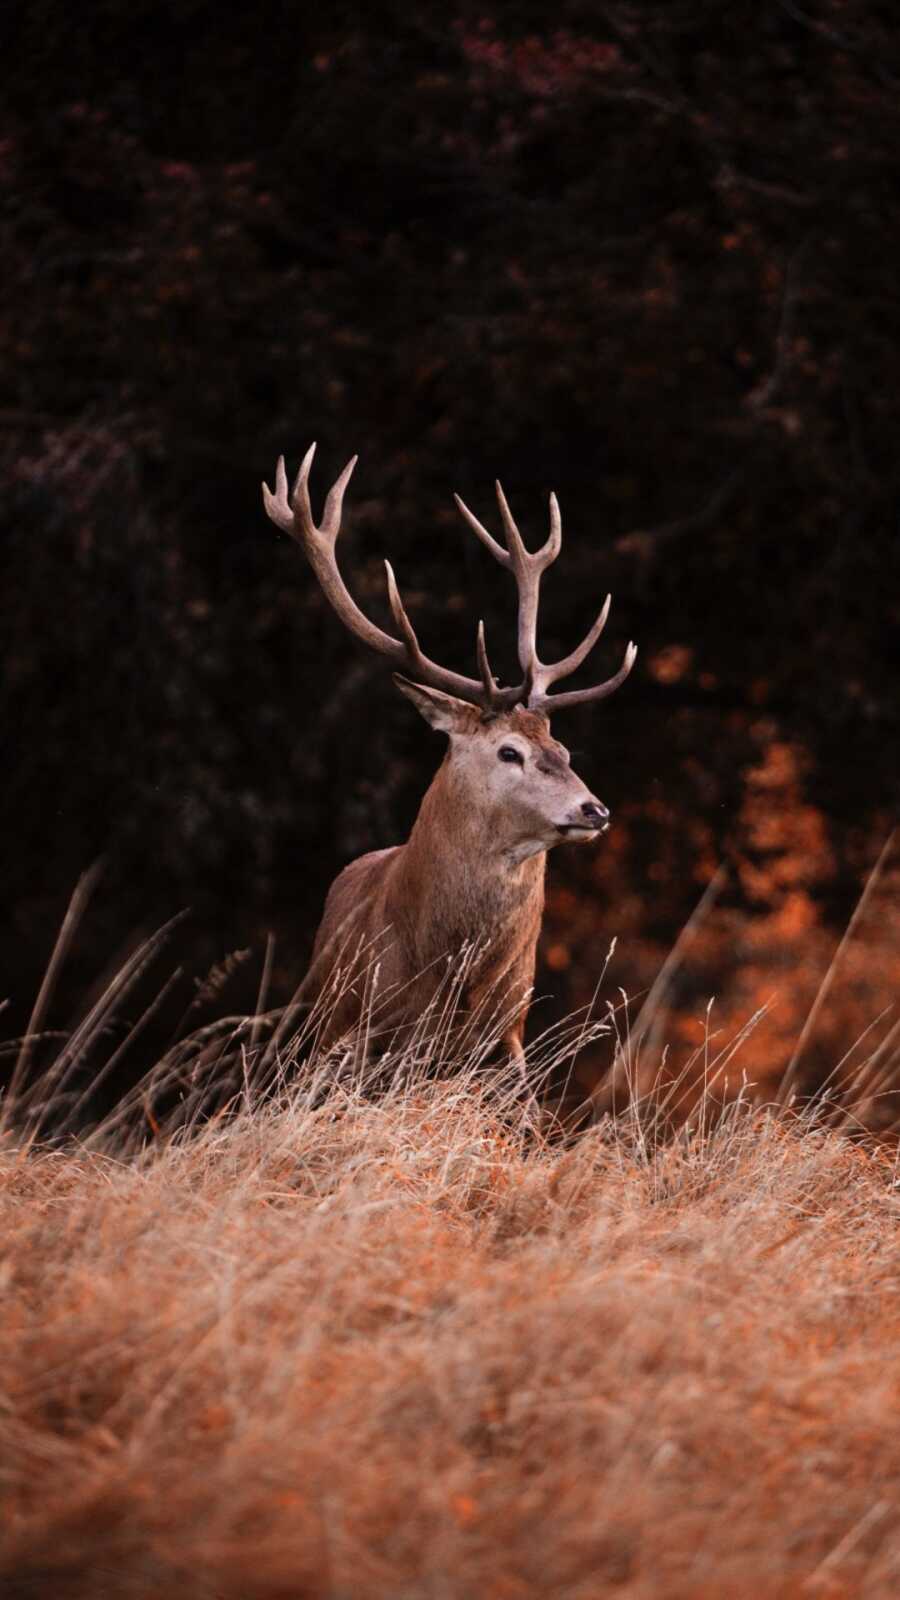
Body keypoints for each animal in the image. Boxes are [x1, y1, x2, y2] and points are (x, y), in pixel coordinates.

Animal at [262, 444, 637, 1078]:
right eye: (509, 751)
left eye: (563, 750)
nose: (595, 810)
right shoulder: (358, 1030)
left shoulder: (507, 1036)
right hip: (314, 1021)